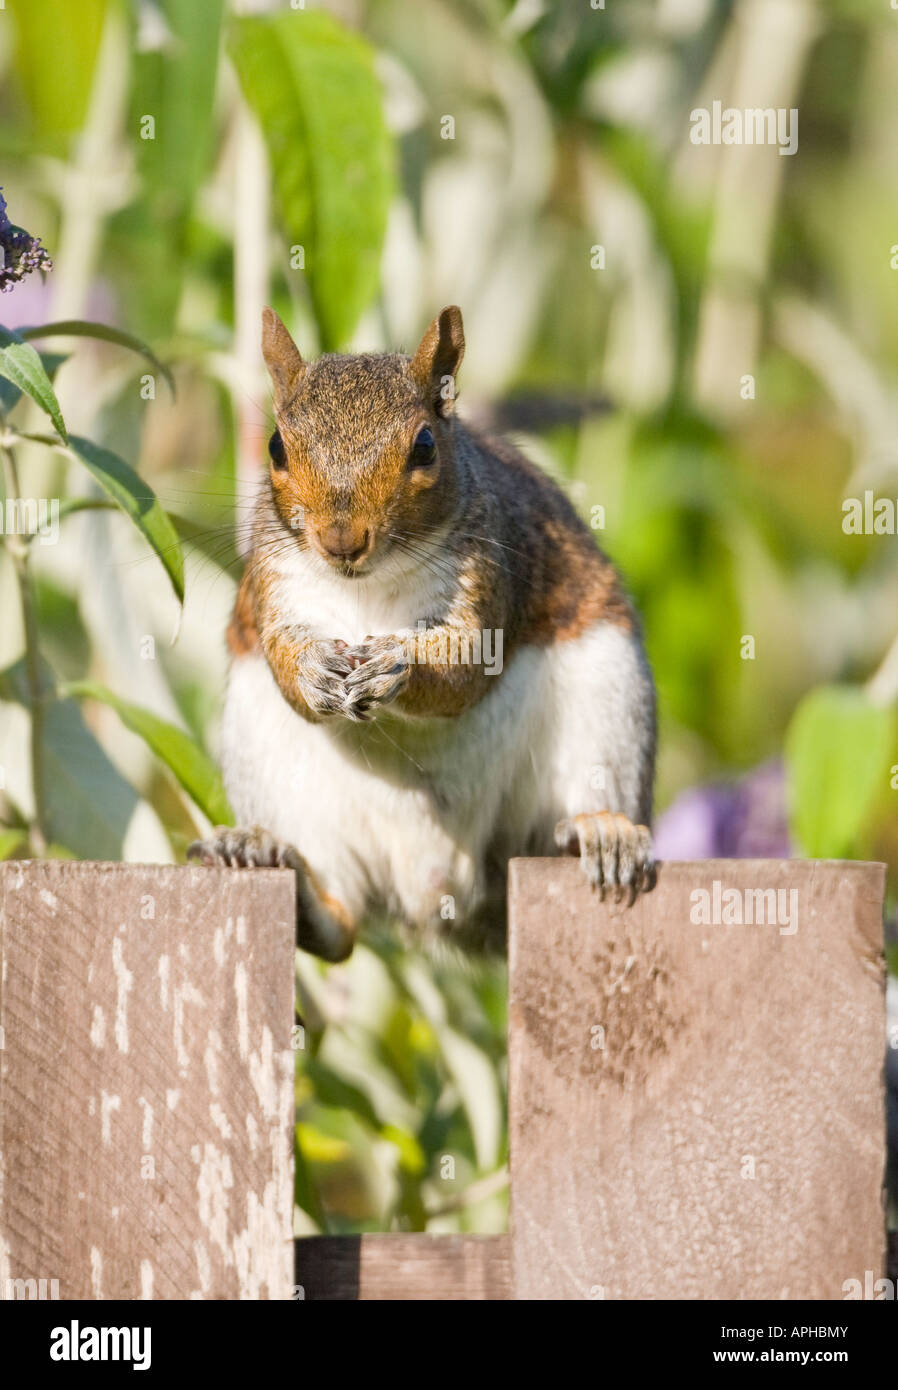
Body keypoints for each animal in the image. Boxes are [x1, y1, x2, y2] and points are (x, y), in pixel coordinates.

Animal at [188, 306, 657, 960]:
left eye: (426, 446)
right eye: (277, 446)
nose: (341, 540)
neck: (370, 586)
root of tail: (438, 895)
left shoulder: (487, 567)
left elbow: (465, 667)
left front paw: (397, 663)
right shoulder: (274, 581)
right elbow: (285, 663)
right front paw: (312, 672)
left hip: (604, 707)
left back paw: (602, 834)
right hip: (268, 756)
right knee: (339, 925)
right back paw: (265, 863)